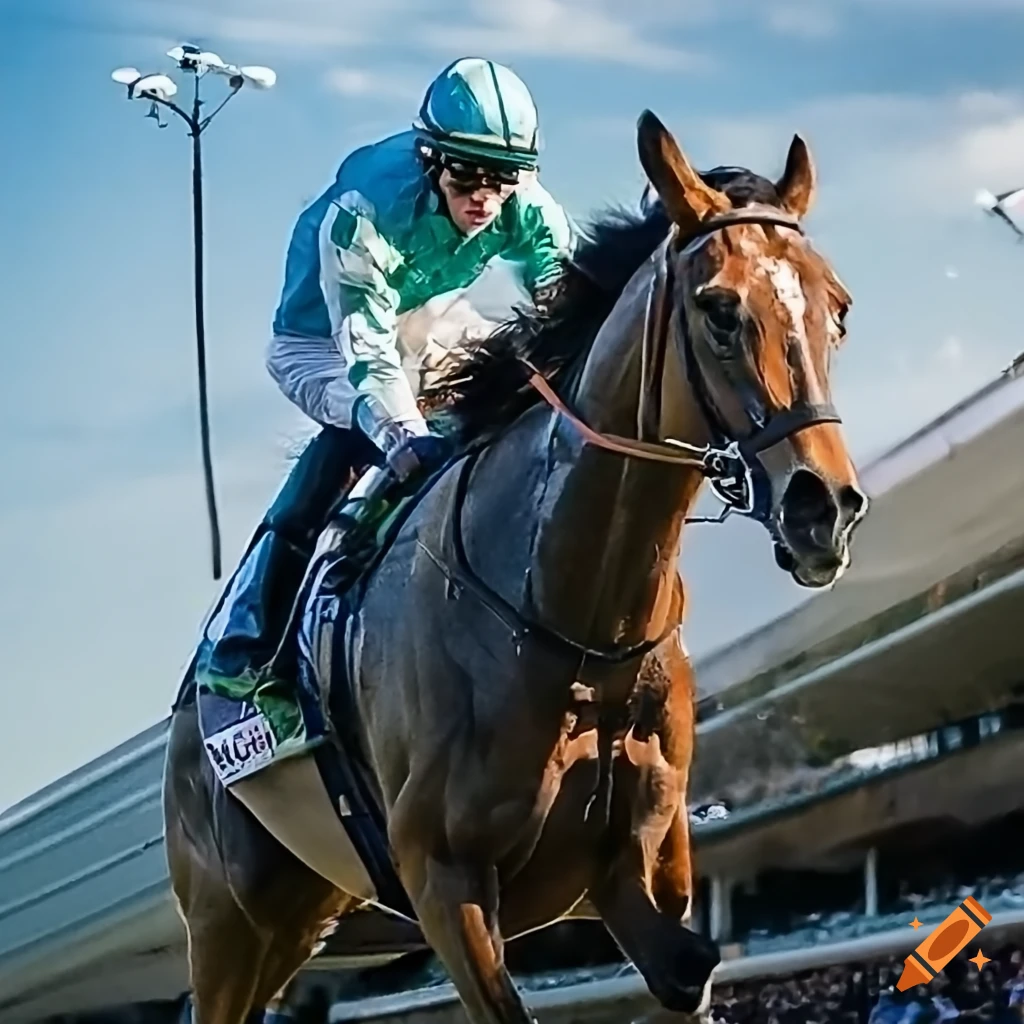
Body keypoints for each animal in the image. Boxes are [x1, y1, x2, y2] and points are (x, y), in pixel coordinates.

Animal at [163, 110, 868, 1024]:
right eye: (719, 310)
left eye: (838, 309)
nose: (825, 506)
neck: (575, 622)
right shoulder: (444, 880)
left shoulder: (641, 864)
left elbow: (689, 966)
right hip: (229, 925)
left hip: (299, 922)